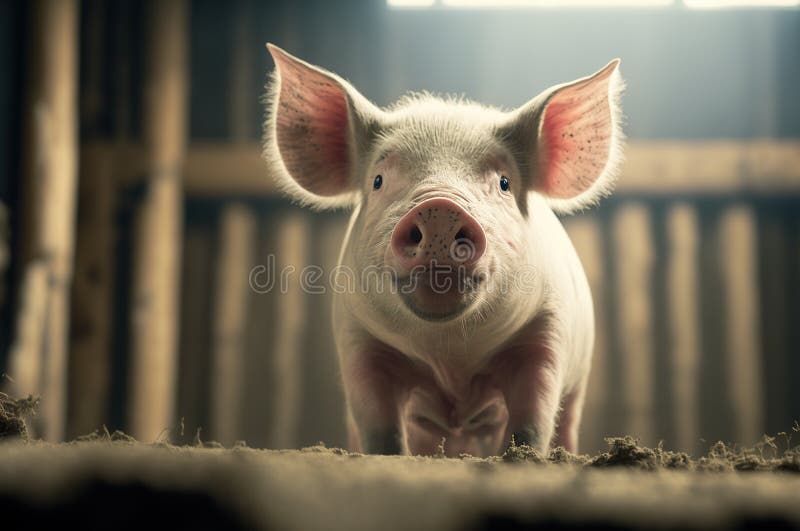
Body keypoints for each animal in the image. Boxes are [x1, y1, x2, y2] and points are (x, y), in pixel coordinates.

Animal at [262, 44, 624, 457]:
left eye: (503, 183)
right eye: (378, 180)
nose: (440, 209)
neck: (450, 359)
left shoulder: (546, 331)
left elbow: (531, 422)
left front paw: (522, 458)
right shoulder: (358, 339)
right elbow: (379, 428)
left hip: (578, 383)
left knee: (566, 422)